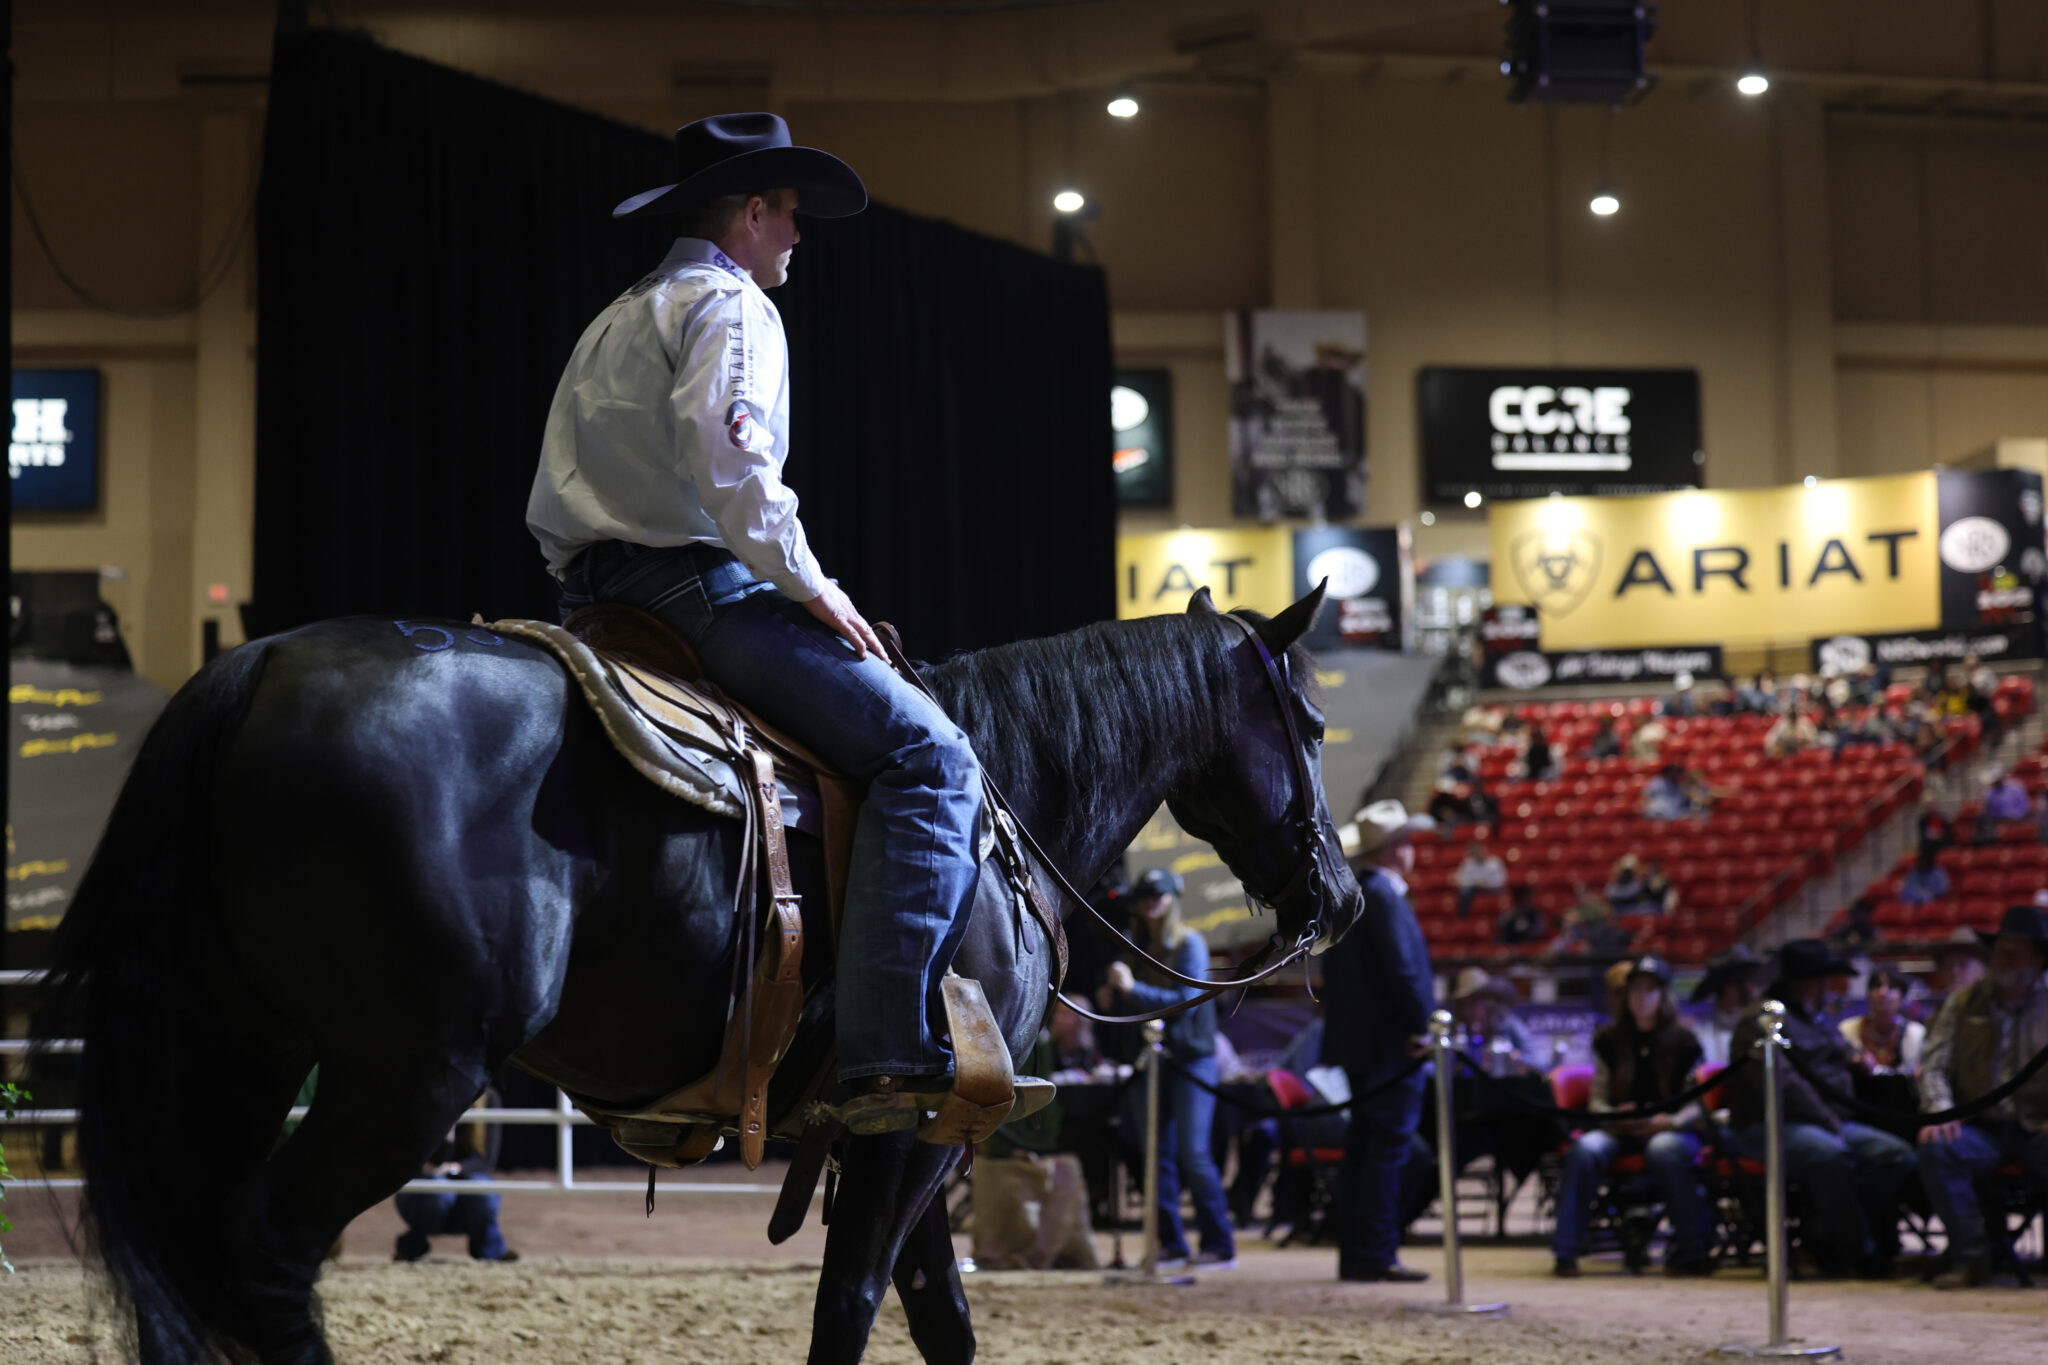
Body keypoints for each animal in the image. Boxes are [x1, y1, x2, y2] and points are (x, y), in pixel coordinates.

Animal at [45, 582, 1364, 1365]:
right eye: (1304, 722)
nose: (1341, 902)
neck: (996, 808)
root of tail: (256, 669)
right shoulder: (913, 1131)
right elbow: (853, 1306)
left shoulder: (920, 1136)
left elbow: (936, 1315)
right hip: (400, 1077)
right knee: (266, 1251)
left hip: (239, 1055)